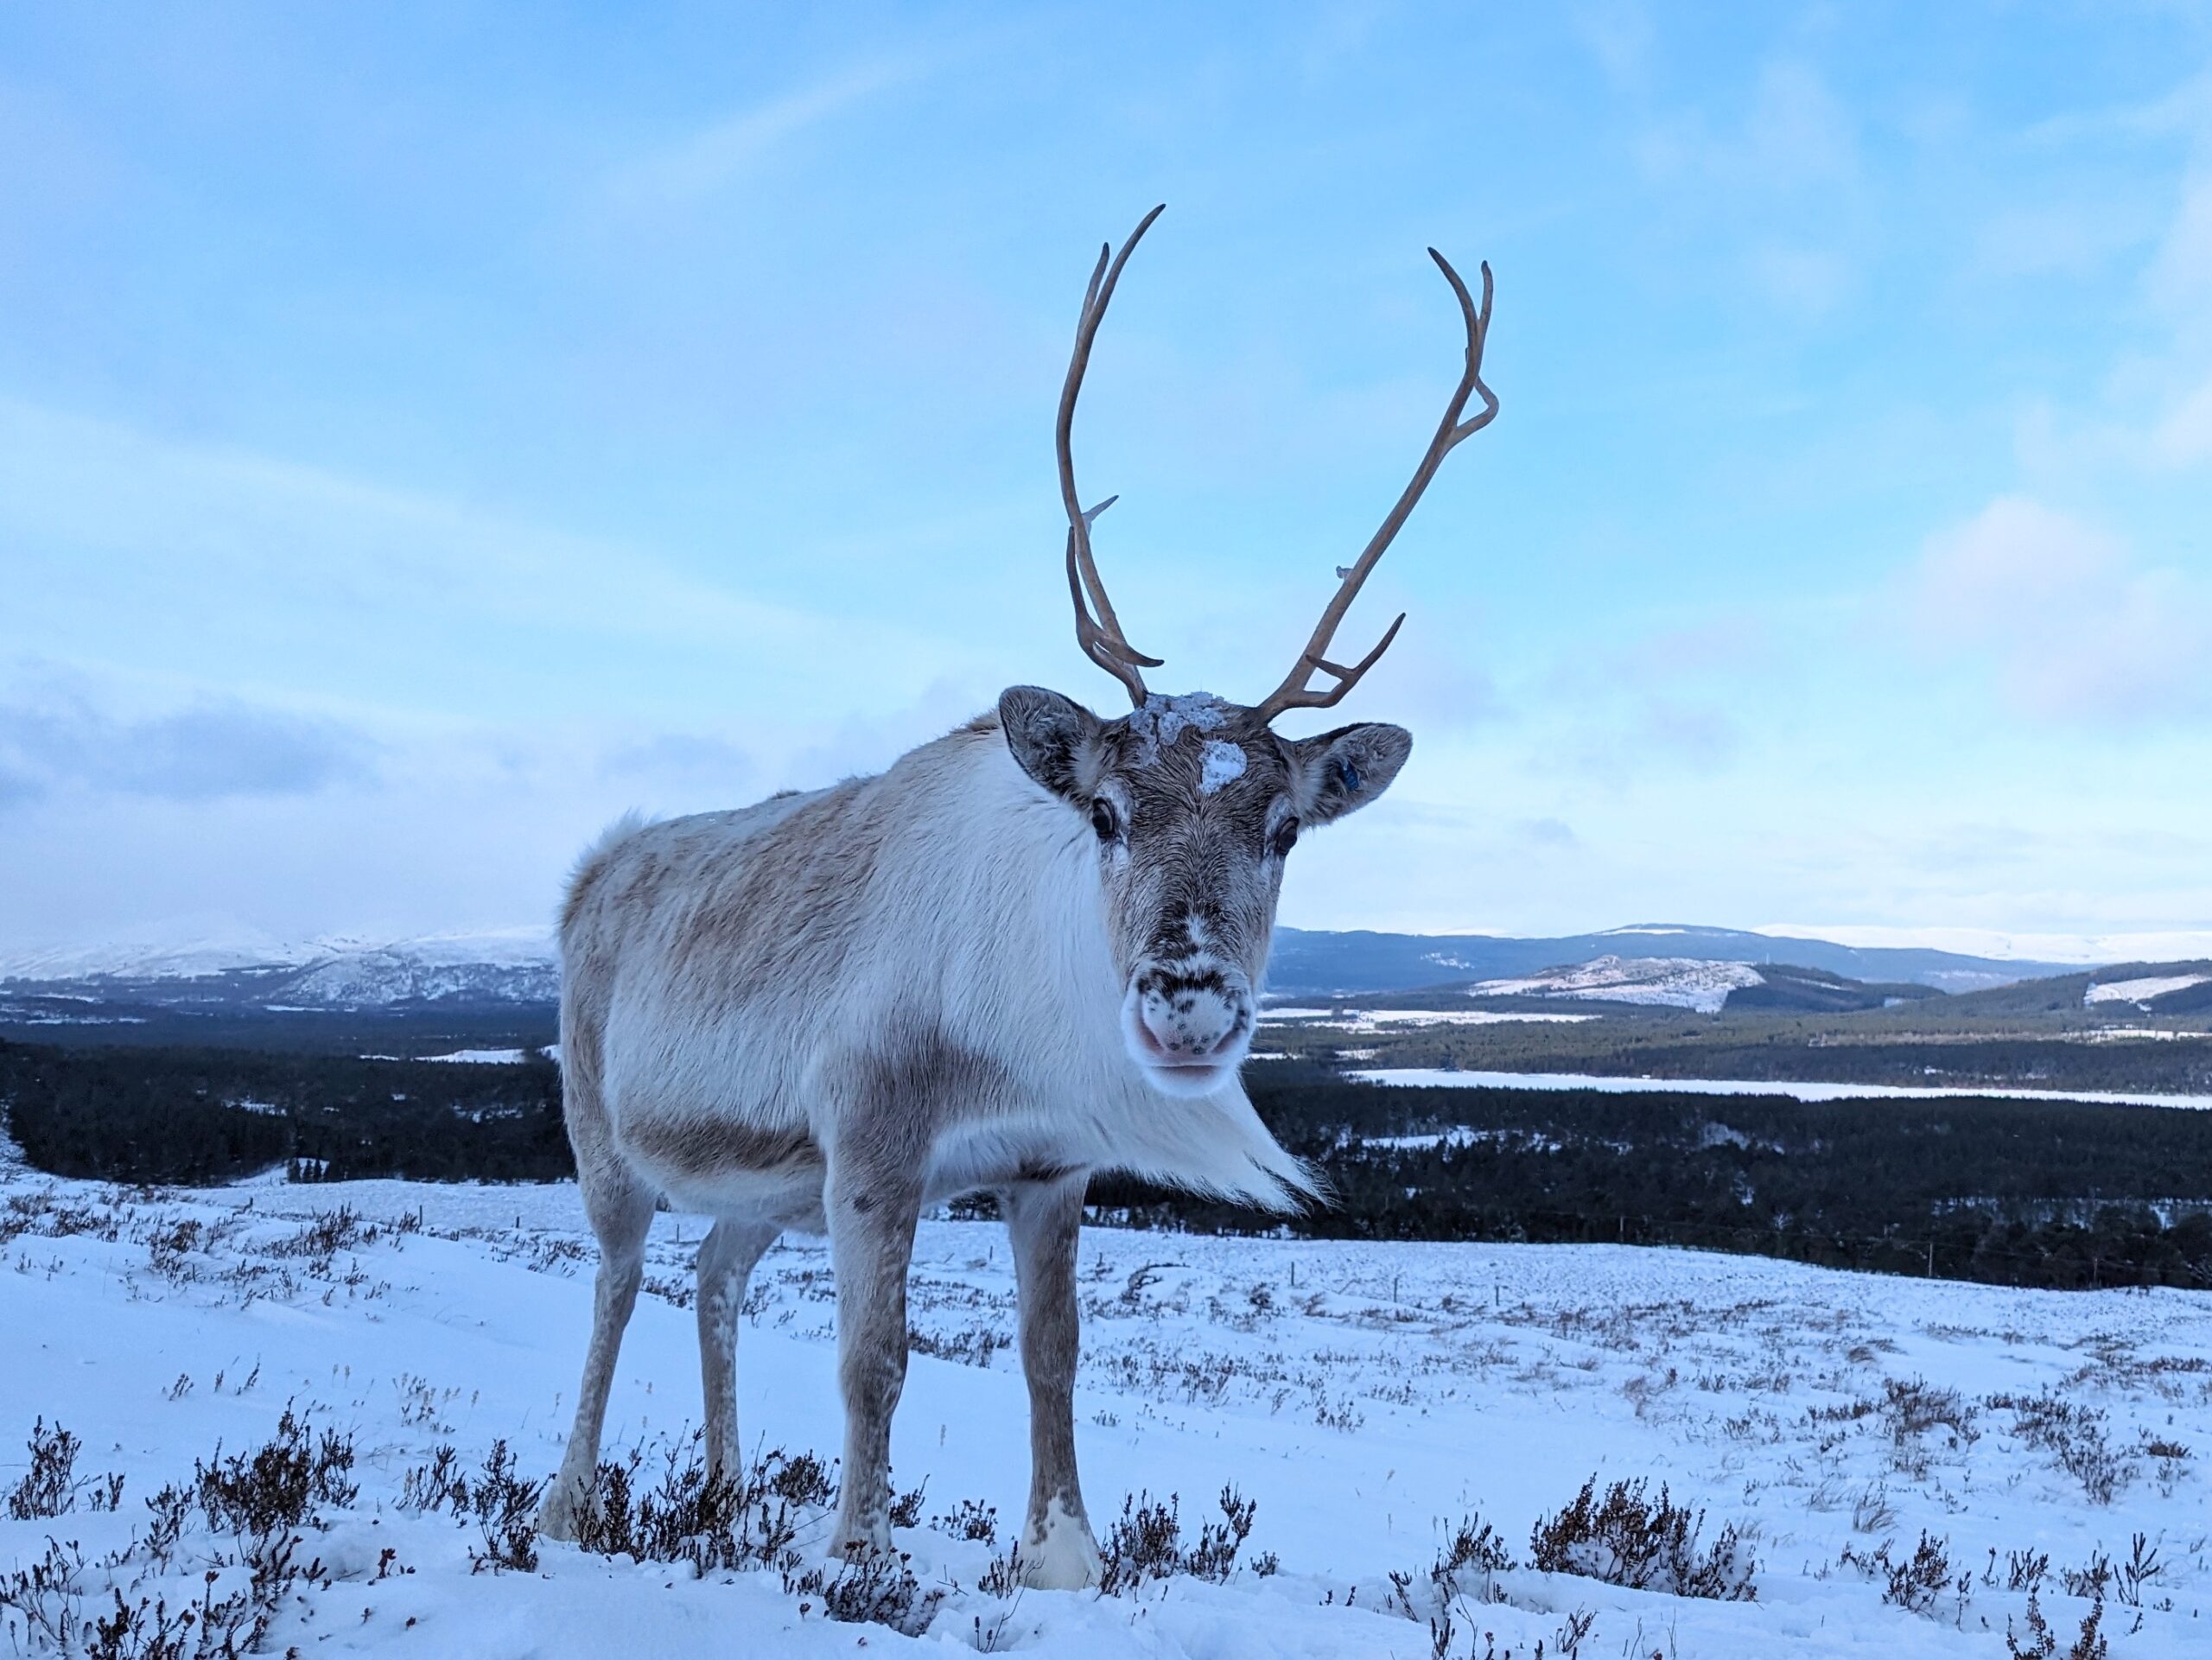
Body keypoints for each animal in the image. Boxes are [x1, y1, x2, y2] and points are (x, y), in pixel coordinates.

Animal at [537, 206, 1498, 1589]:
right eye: (1103, 813)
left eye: (1284, 830)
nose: (1187, 1001)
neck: (1014, 1034)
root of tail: (589, 880)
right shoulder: (869, 1131)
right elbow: (873, 1360)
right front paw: (860, 1552)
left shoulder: (1048, 1163)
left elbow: (1055, 1360)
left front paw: (1063, 1555)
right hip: (605, 1138)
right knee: (615, 1285)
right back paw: (567, 1506)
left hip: (764, 1186)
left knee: (715, 1277)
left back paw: (724, 1497)